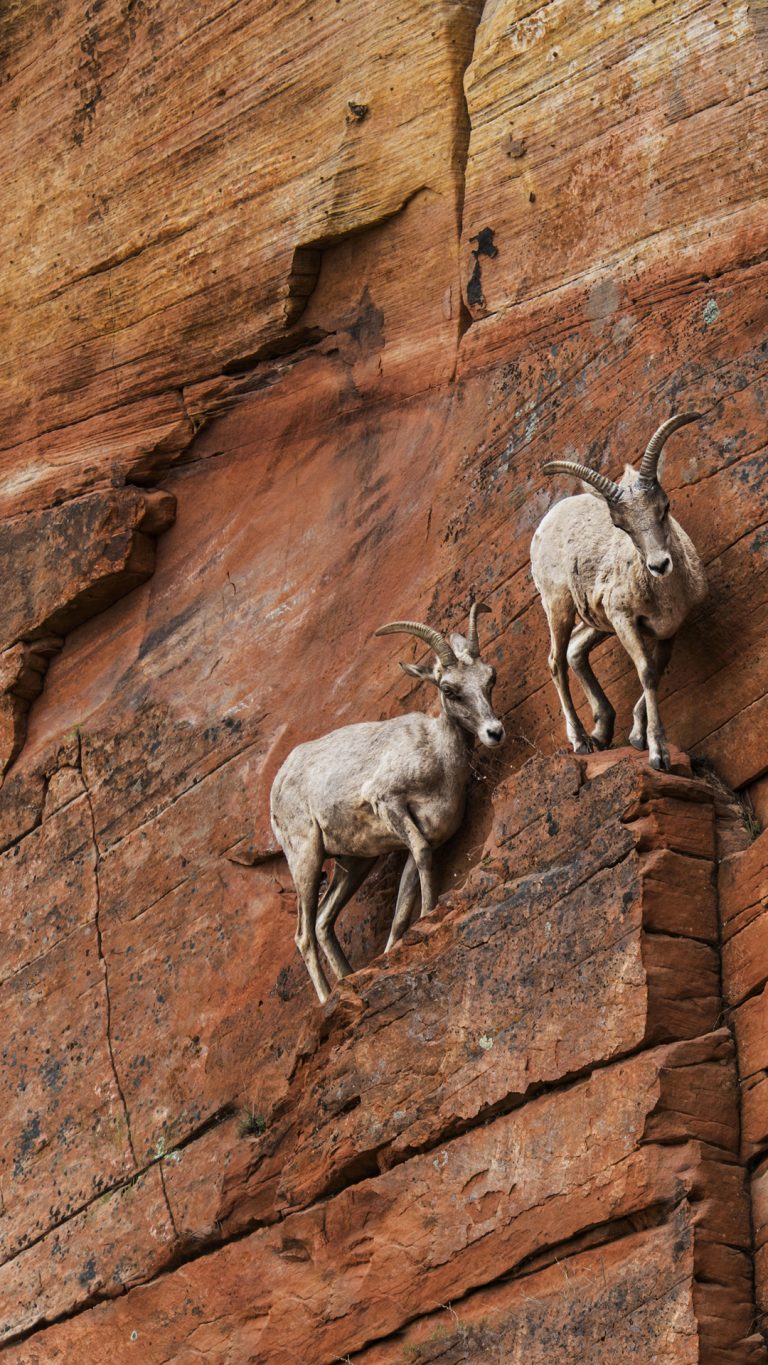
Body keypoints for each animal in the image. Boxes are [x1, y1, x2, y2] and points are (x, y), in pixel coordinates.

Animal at [270, 604, 505, 1001]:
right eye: (449, 689)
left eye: (490, 678)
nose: (494, 732)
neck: (438, 758)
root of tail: (279, 780)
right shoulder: (390, 804)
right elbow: (422, 862)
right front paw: (430, 913)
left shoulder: (419, 838)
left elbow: (401, 907)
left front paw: (396, 948)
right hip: (305, 857)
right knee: (303, 934)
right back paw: (326, 998)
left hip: (354, 862)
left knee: (323, 921)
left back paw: (348, 980)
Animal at [530, 413, 707, 772]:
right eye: (621, 526)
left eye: (665, 507)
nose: (659, 565)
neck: (665, 596)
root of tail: (545, 524)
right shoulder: (625, 620)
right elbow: (647, 672)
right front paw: (658, 754)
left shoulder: (668, 630)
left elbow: (656, 671)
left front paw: (637, 737)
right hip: (559, 607)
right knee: (556, 661)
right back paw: (581, 741)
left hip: (597, 622)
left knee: (575, 650)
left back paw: (601, 732)